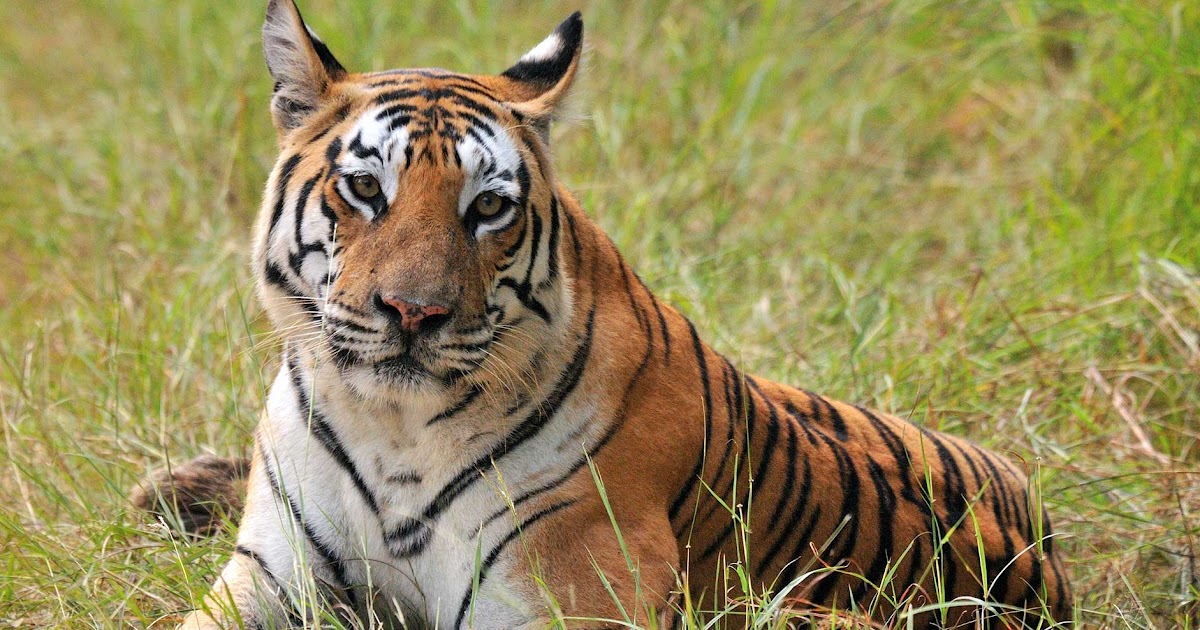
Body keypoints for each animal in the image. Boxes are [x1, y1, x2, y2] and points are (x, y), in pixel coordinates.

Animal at [133, 1, 1073, 628]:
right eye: (366, 189)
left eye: (487, 208)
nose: (413, 312)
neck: (389, 427)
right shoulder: (271, 573)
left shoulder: (568, 593)